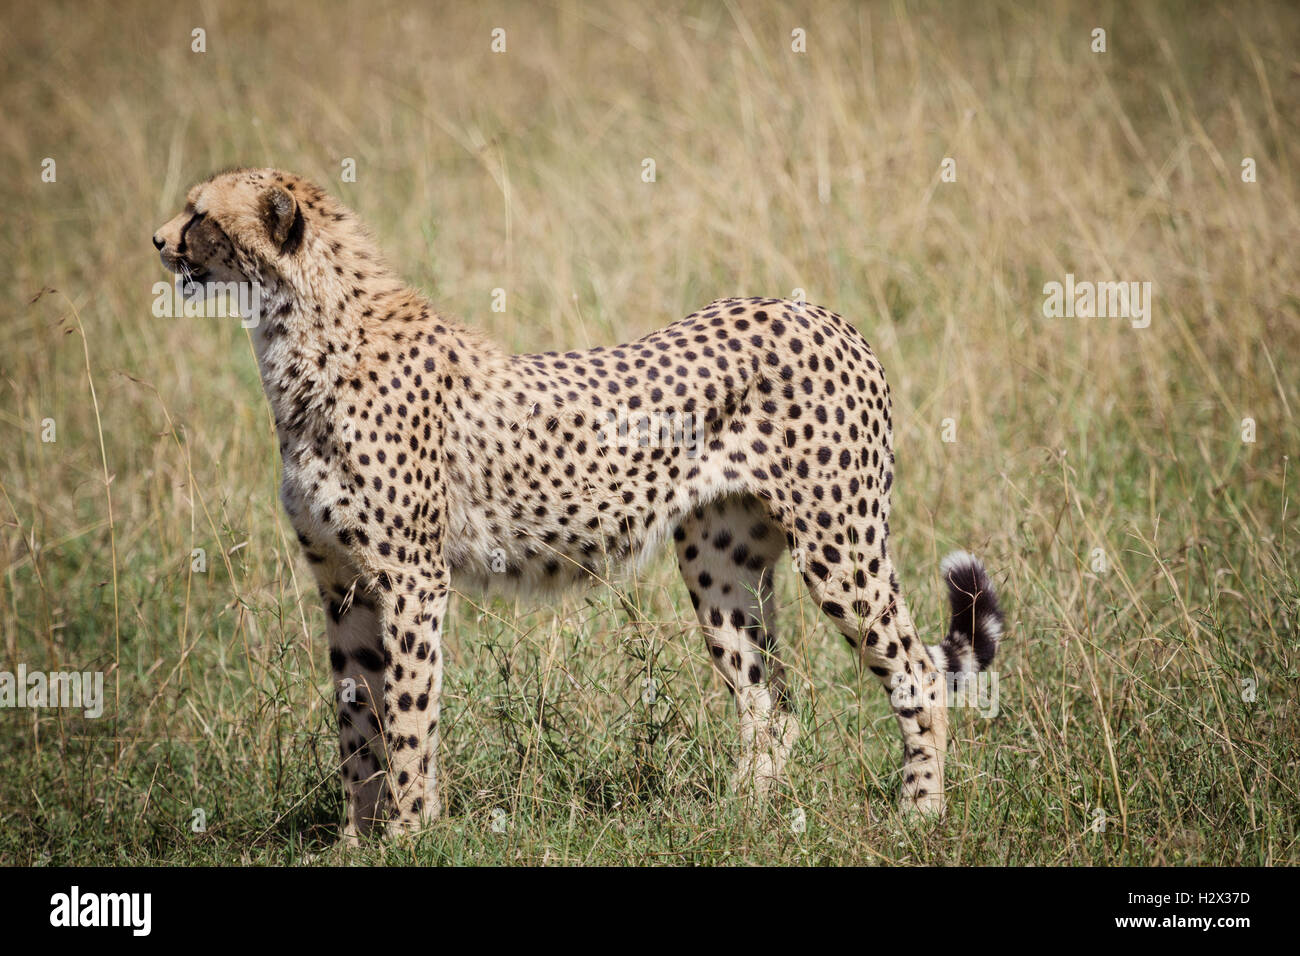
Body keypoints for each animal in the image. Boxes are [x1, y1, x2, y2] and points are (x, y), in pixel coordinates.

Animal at [153, 167, 1004, 843]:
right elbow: (357, 722)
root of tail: (821, 314)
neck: (299, 336)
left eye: (201, 215)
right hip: (721, 565)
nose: (157, 240)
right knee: (773, 696)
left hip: (839, 544)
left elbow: (408, 717)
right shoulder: (342, 581)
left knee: (918, 671)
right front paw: (356, 843)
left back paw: (918, 812)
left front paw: (408, 834)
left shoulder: (411, 579)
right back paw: (740, 817)